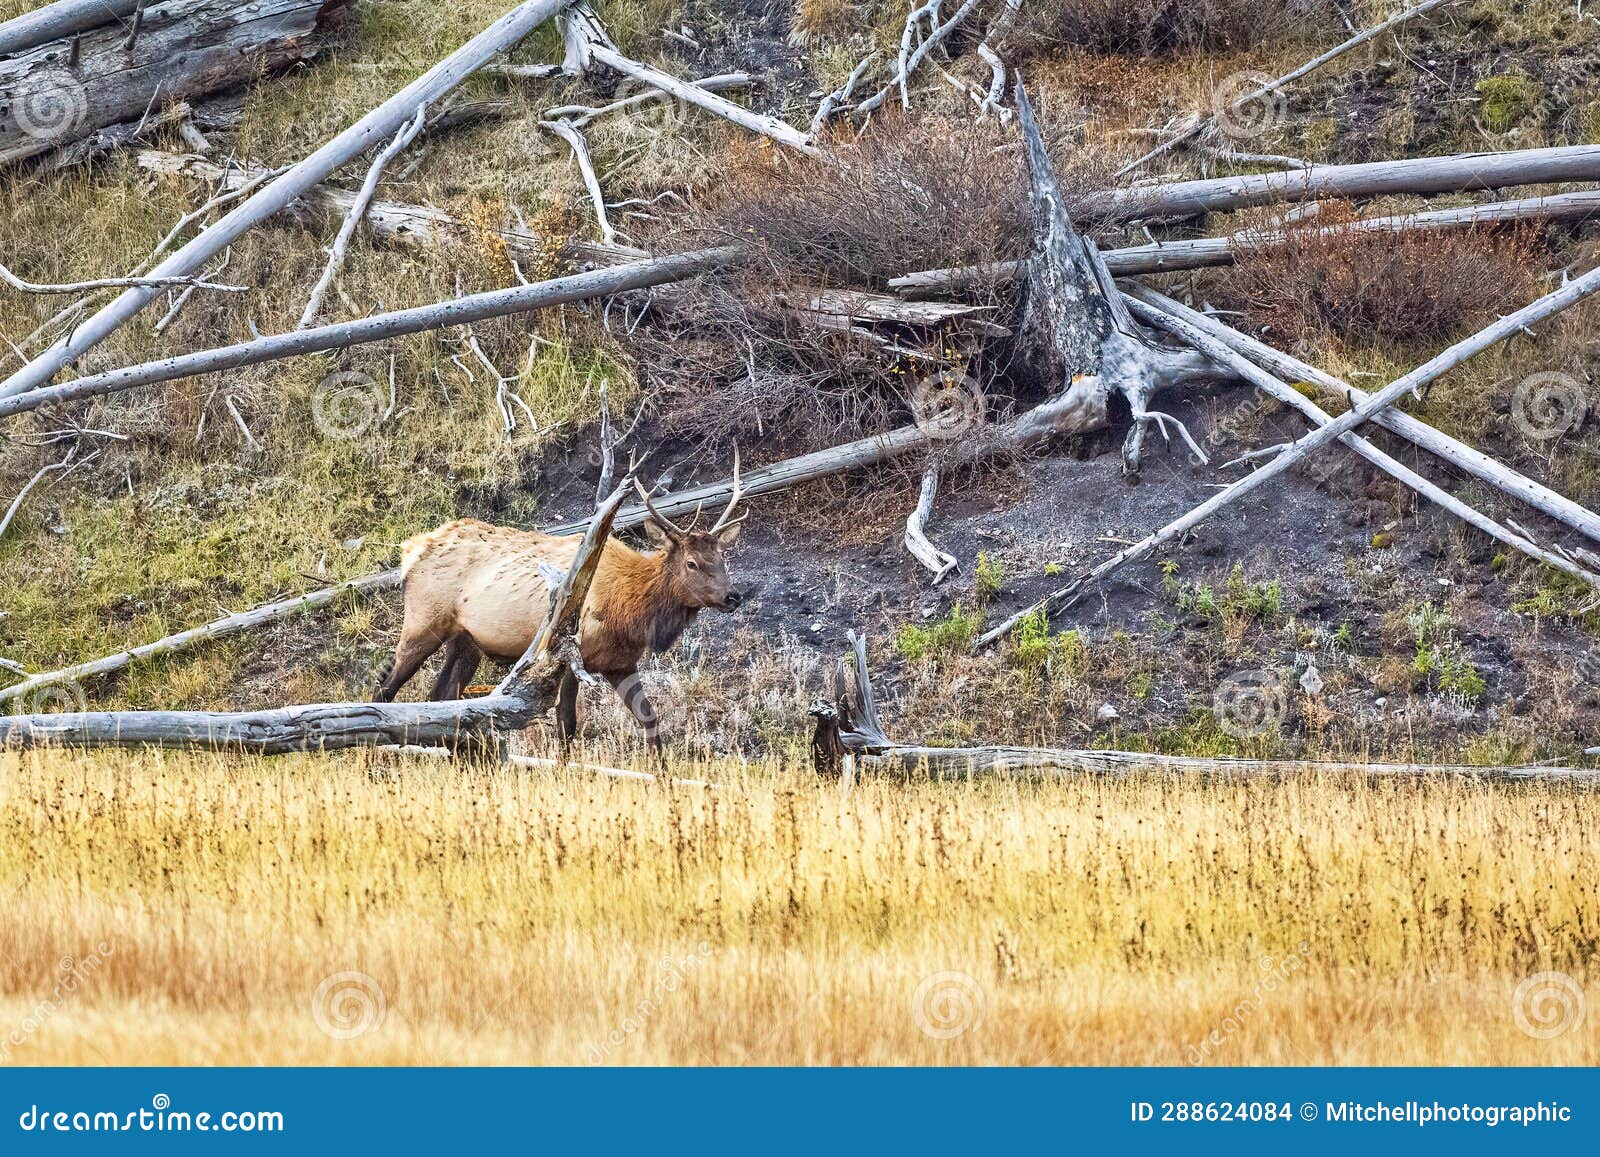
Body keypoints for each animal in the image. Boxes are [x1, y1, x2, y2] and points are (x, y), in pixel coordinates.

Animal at [373, 456, 747, 759]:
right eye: (692, 563)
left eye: (721, 558)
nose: (733, 596)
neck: (630, 612)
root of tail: (409, 551)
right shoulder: (569, 654)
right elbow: (567, 723)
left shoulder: (620, 663)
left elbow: (650, 718)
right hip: (423, 621)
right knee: (386, 687)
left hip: (466, 641)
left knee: (442, 698)